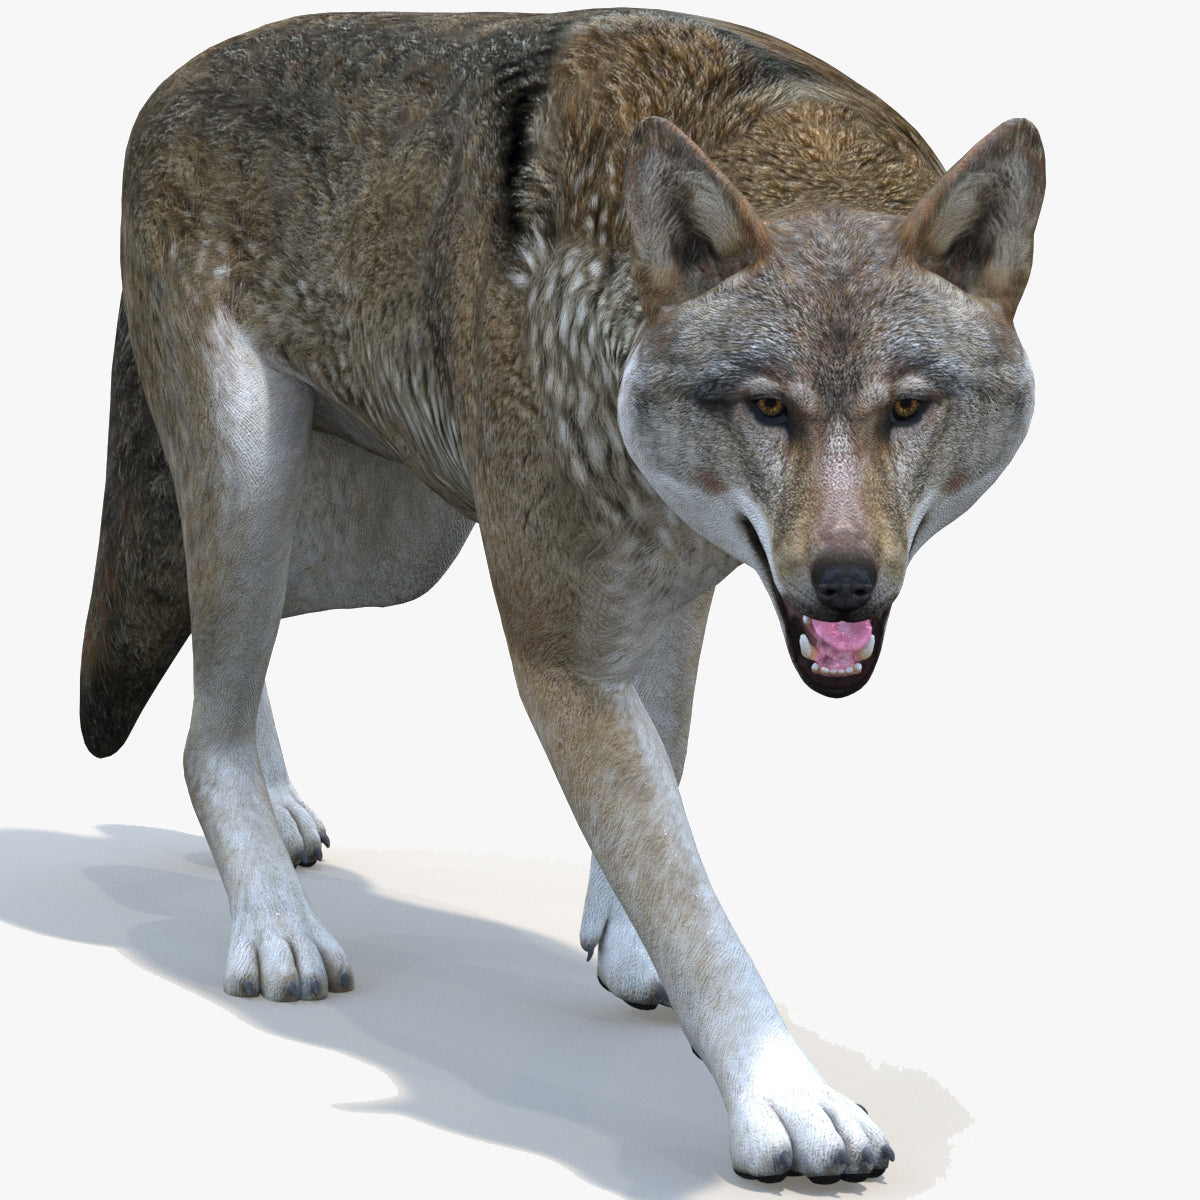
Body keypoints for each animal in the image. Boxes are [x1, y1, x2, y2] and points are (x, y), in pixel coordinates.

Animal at [80, 9, 1043, 1183]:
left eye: (907, 408)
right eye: (768, 407)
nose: (846, 580)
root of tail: (166, 87)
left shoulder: (680, 590)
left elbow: (665, 778)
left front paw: (621, 939)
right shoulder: (561, 654)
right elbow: (686, 892)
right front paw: (783, 1095)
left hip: (386, 549)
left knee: (225, 650)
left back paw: (283, 809)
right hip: (263, 491)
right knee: (199, 725)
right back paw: (274, 924)